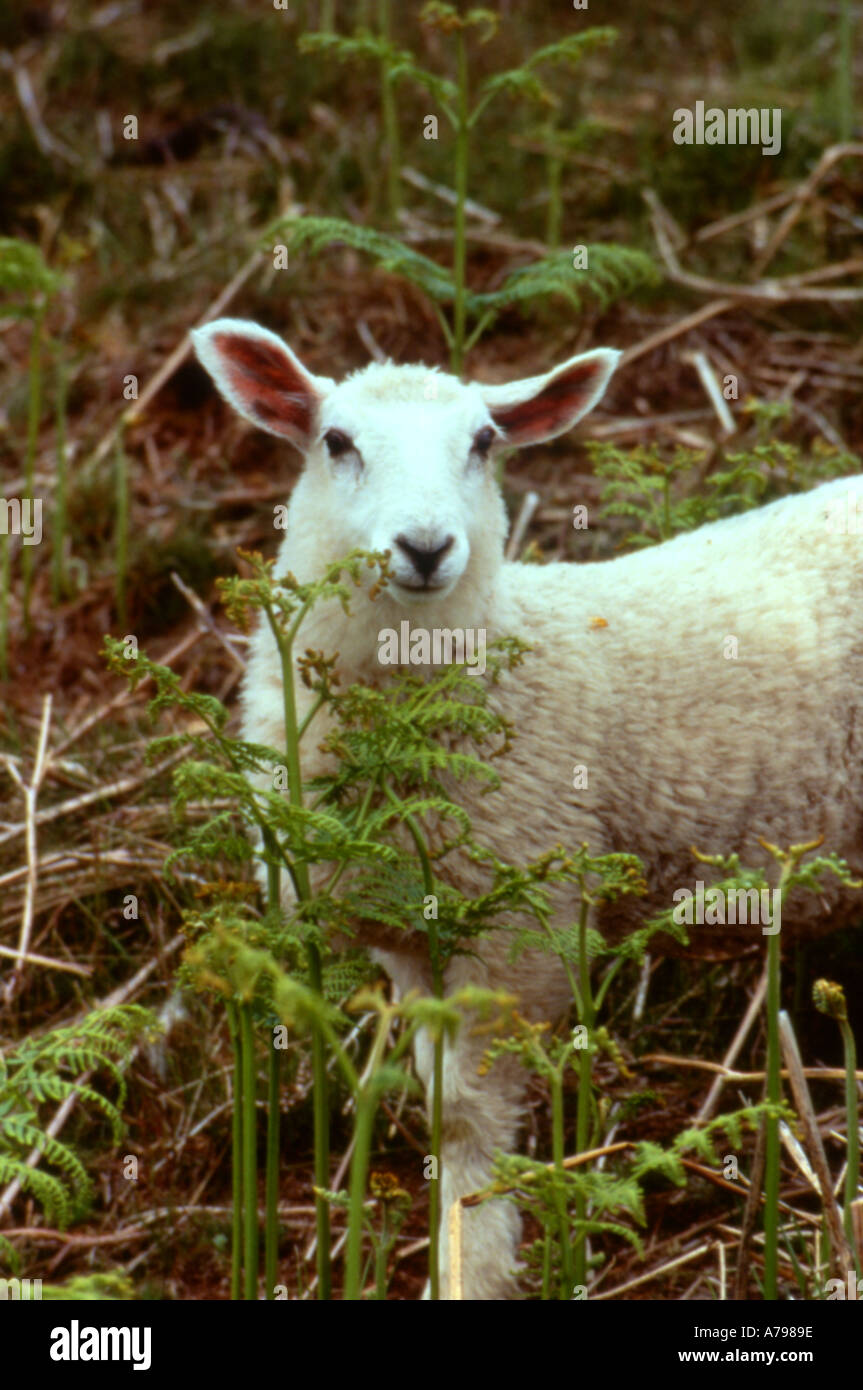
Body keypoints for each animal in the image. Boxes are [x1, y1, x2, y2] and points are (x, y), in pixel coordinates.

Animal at [193, 317, 863, 1300]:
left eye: (482, 443)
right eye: (337, 442)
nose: (425, 546)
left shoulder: (523, 928)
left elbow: (470, 1120)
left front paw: (470, 1268)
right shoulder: (414, 939)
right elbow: (435, 1102)